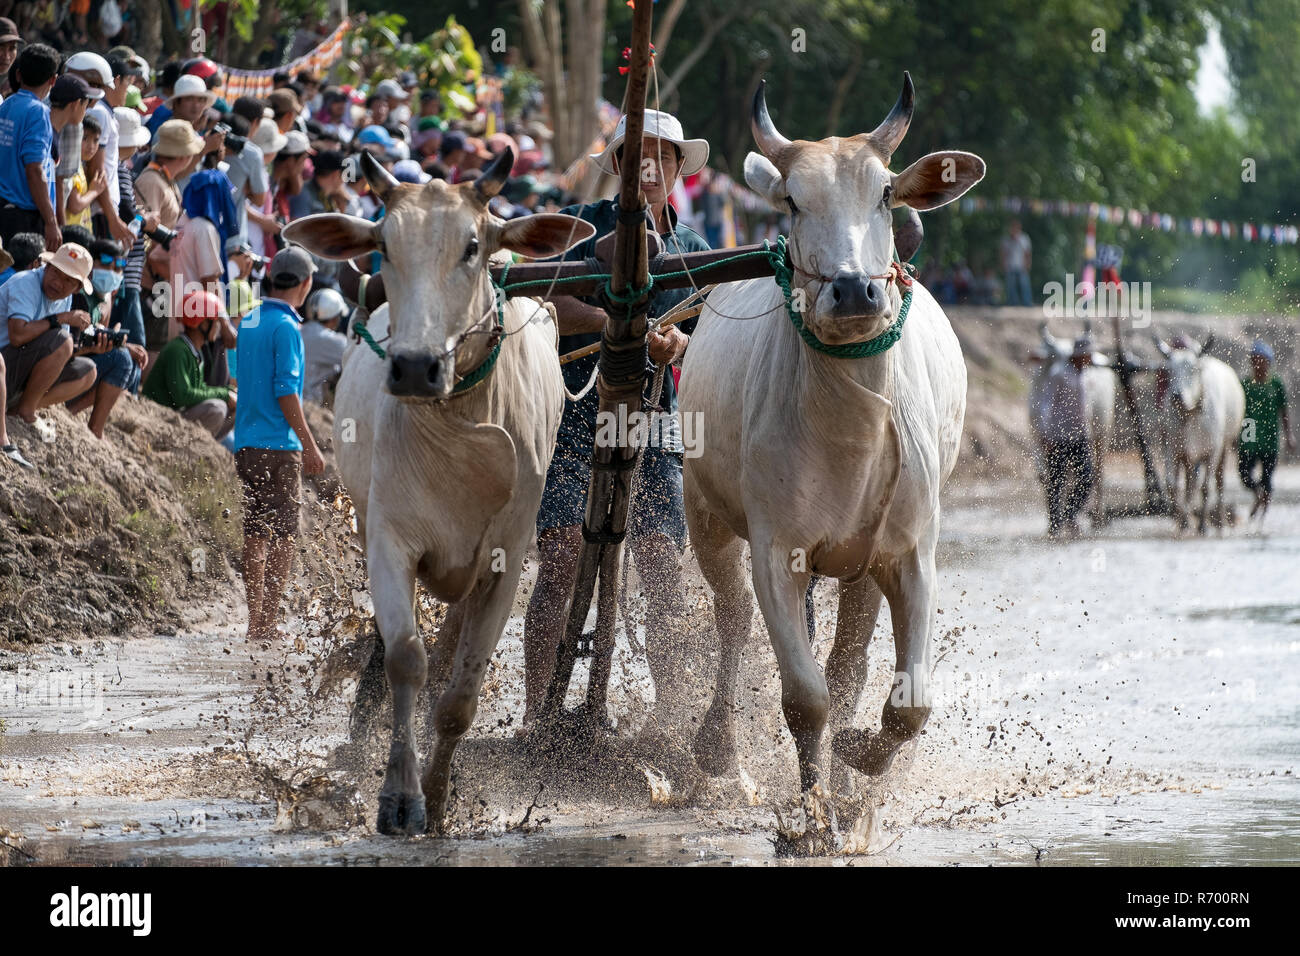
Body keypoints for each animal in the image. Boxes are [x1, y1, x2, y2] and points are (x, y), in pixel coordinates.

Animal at [282, 150, 595, 834]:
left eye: (473, 246)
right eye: (383, 246)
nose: (415, 367)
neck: (462, 420)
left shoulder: (504, 561)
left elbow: (459, 694)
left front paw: (440, 794)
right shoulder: (389, 540)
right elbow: (406, 657)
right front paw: (399, 797)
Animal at [679, 74, 984, 817]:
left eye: (885, 191)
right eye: (793, 198)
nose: (854, 289)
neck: (849, 426)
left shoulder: (910, 552)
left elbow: (906, 704)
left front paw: (853, 763)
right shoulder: (775, 551)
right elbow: (806, 698)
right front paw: (813, 811)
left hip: (860, 566)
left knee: (850, 663)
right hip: (704, 514)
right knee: (733, 621)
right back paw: (718, 746)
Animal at [1153, 333, 1245, 534]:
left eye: (1193, 369)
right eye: (1170, 370)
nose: (1177, 396)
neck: (1191, 413)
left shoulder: (1212, 452)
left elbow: (1205, 488)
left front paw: (1202, 525)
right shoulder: (1173, 449)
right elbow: (1172, 485)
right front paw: (1181, 520)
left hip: (1224, 449)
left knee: (1217, 483)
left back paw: (1220, 522)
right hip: (1189, 457)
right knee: (1190, 484)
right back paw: (1185, 521)